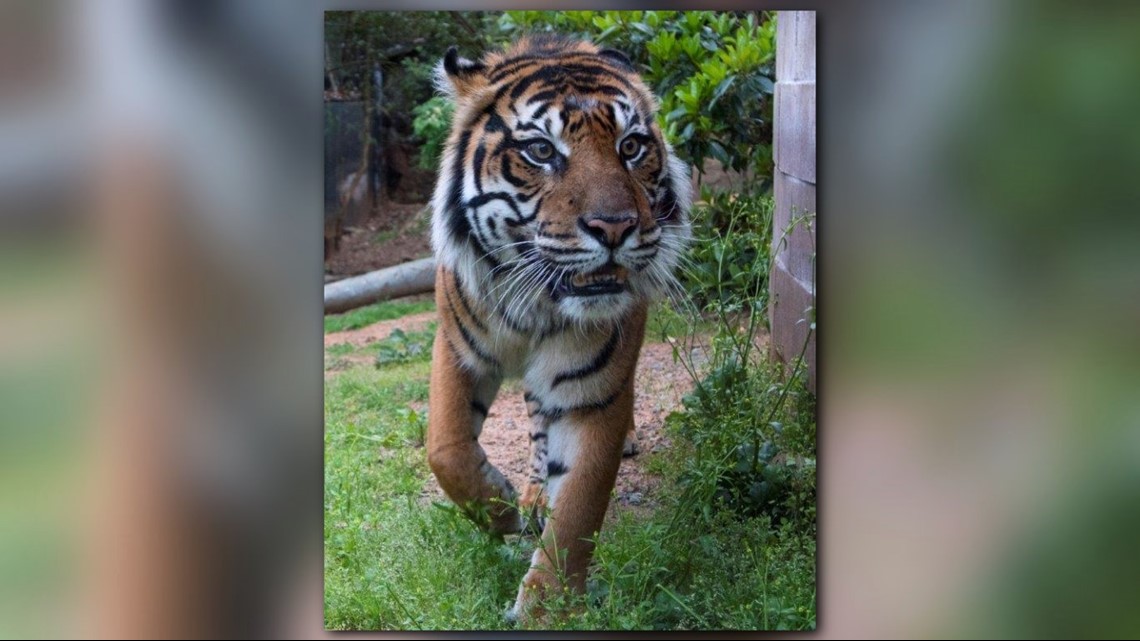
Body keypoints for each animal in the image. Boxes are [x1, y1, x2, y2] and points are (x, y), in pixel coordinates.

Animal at [425, 35, 691, 623]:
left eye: (631, 146)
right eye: (542, 152)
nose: (615, 227)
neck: (535, 299)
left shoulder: (592, 392)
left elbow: (576, 512)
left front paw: (547, 610)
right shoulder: (458, 347)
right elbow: (447, 448)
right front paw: (502, 510)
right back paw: (527, 492)